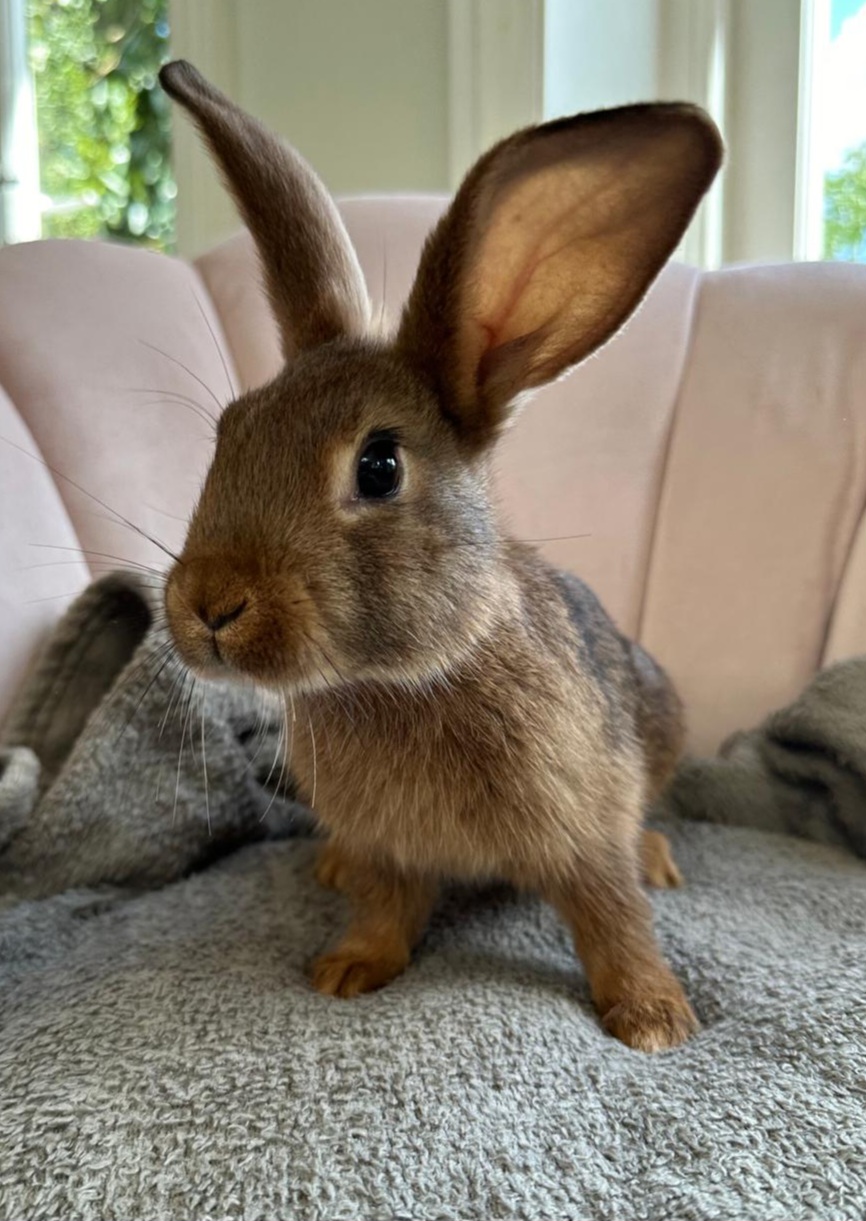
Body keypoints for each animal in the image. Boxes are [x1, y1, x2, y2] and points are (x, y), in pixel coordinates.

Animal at [160, 60, 722, 1052]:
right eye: (229, 432)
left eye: (379, 466)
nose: (208, 606)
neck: (406, 678)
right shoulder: (393, 848)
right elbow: (386, 906)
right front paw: (347, 971)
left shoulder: (583, 829)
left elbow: (613, 916)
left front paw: (654, 1020)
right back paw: (332, 869)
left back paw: (659, 857)